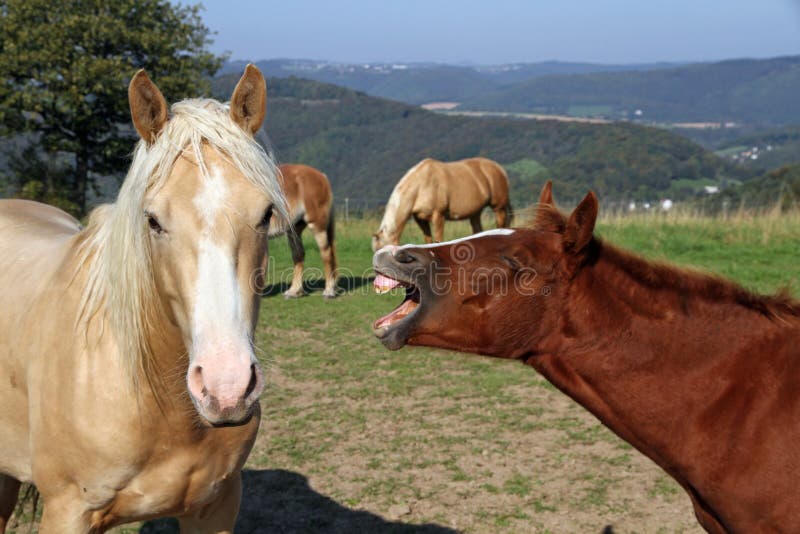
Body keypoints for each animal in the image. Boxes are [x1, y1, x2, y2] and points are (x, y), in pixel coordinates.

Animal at [271, 164, 337, 299]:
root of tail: (322, 176)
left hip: (318, 227)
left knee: (326, 253)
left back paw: (329, 291)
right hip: (294, 229)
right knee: (299, 255)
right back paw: (294, 291)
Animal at [371, 157, 511, 251]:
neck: (422, 185)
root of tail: (499, 168)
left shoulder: (438, 216)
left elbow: (438, 240)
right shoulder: (420, 220)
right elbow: (428, 241)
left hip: (499, 208)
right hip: (475, 213)